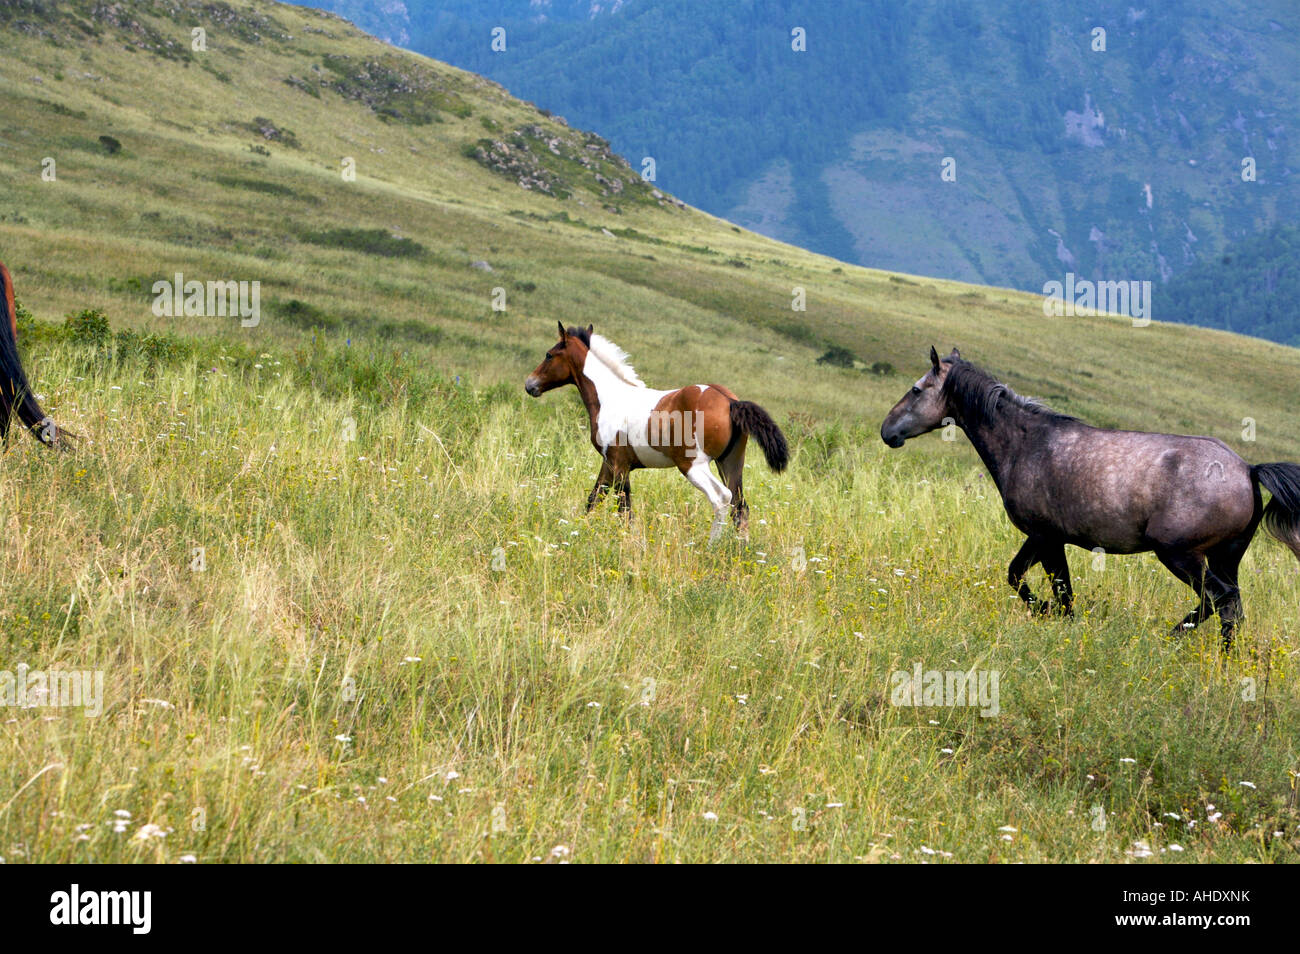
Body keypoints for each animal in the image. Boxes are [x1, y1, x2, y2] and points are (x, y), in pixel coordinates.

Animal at [525, 322, 788, 542]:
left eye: (549, 354)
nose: (530, 385)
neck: (610, 397)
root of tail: (731, 402)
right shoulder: (609, 463)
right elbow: (594, 499)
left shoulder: (619, 465)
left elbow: (624, 510)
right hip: (730, 463)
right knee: (740, 506)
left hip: (693, 465)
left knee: (722, 498)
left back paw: (711, 546)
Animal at [880, 347, 1300, 650]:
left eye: (916, 389)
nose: (887, 431)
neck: (1027, 444)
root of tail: (1248, 470)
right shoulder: (1046, 540)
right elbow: (1029, 579)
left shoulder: (1046, 537)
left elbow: (1047, 588)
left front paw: (1049, 613)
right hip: (1226, 556)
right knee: (1232, 607)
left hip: (1181, 554)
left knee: (1220, 599)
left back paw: (1173, 635)